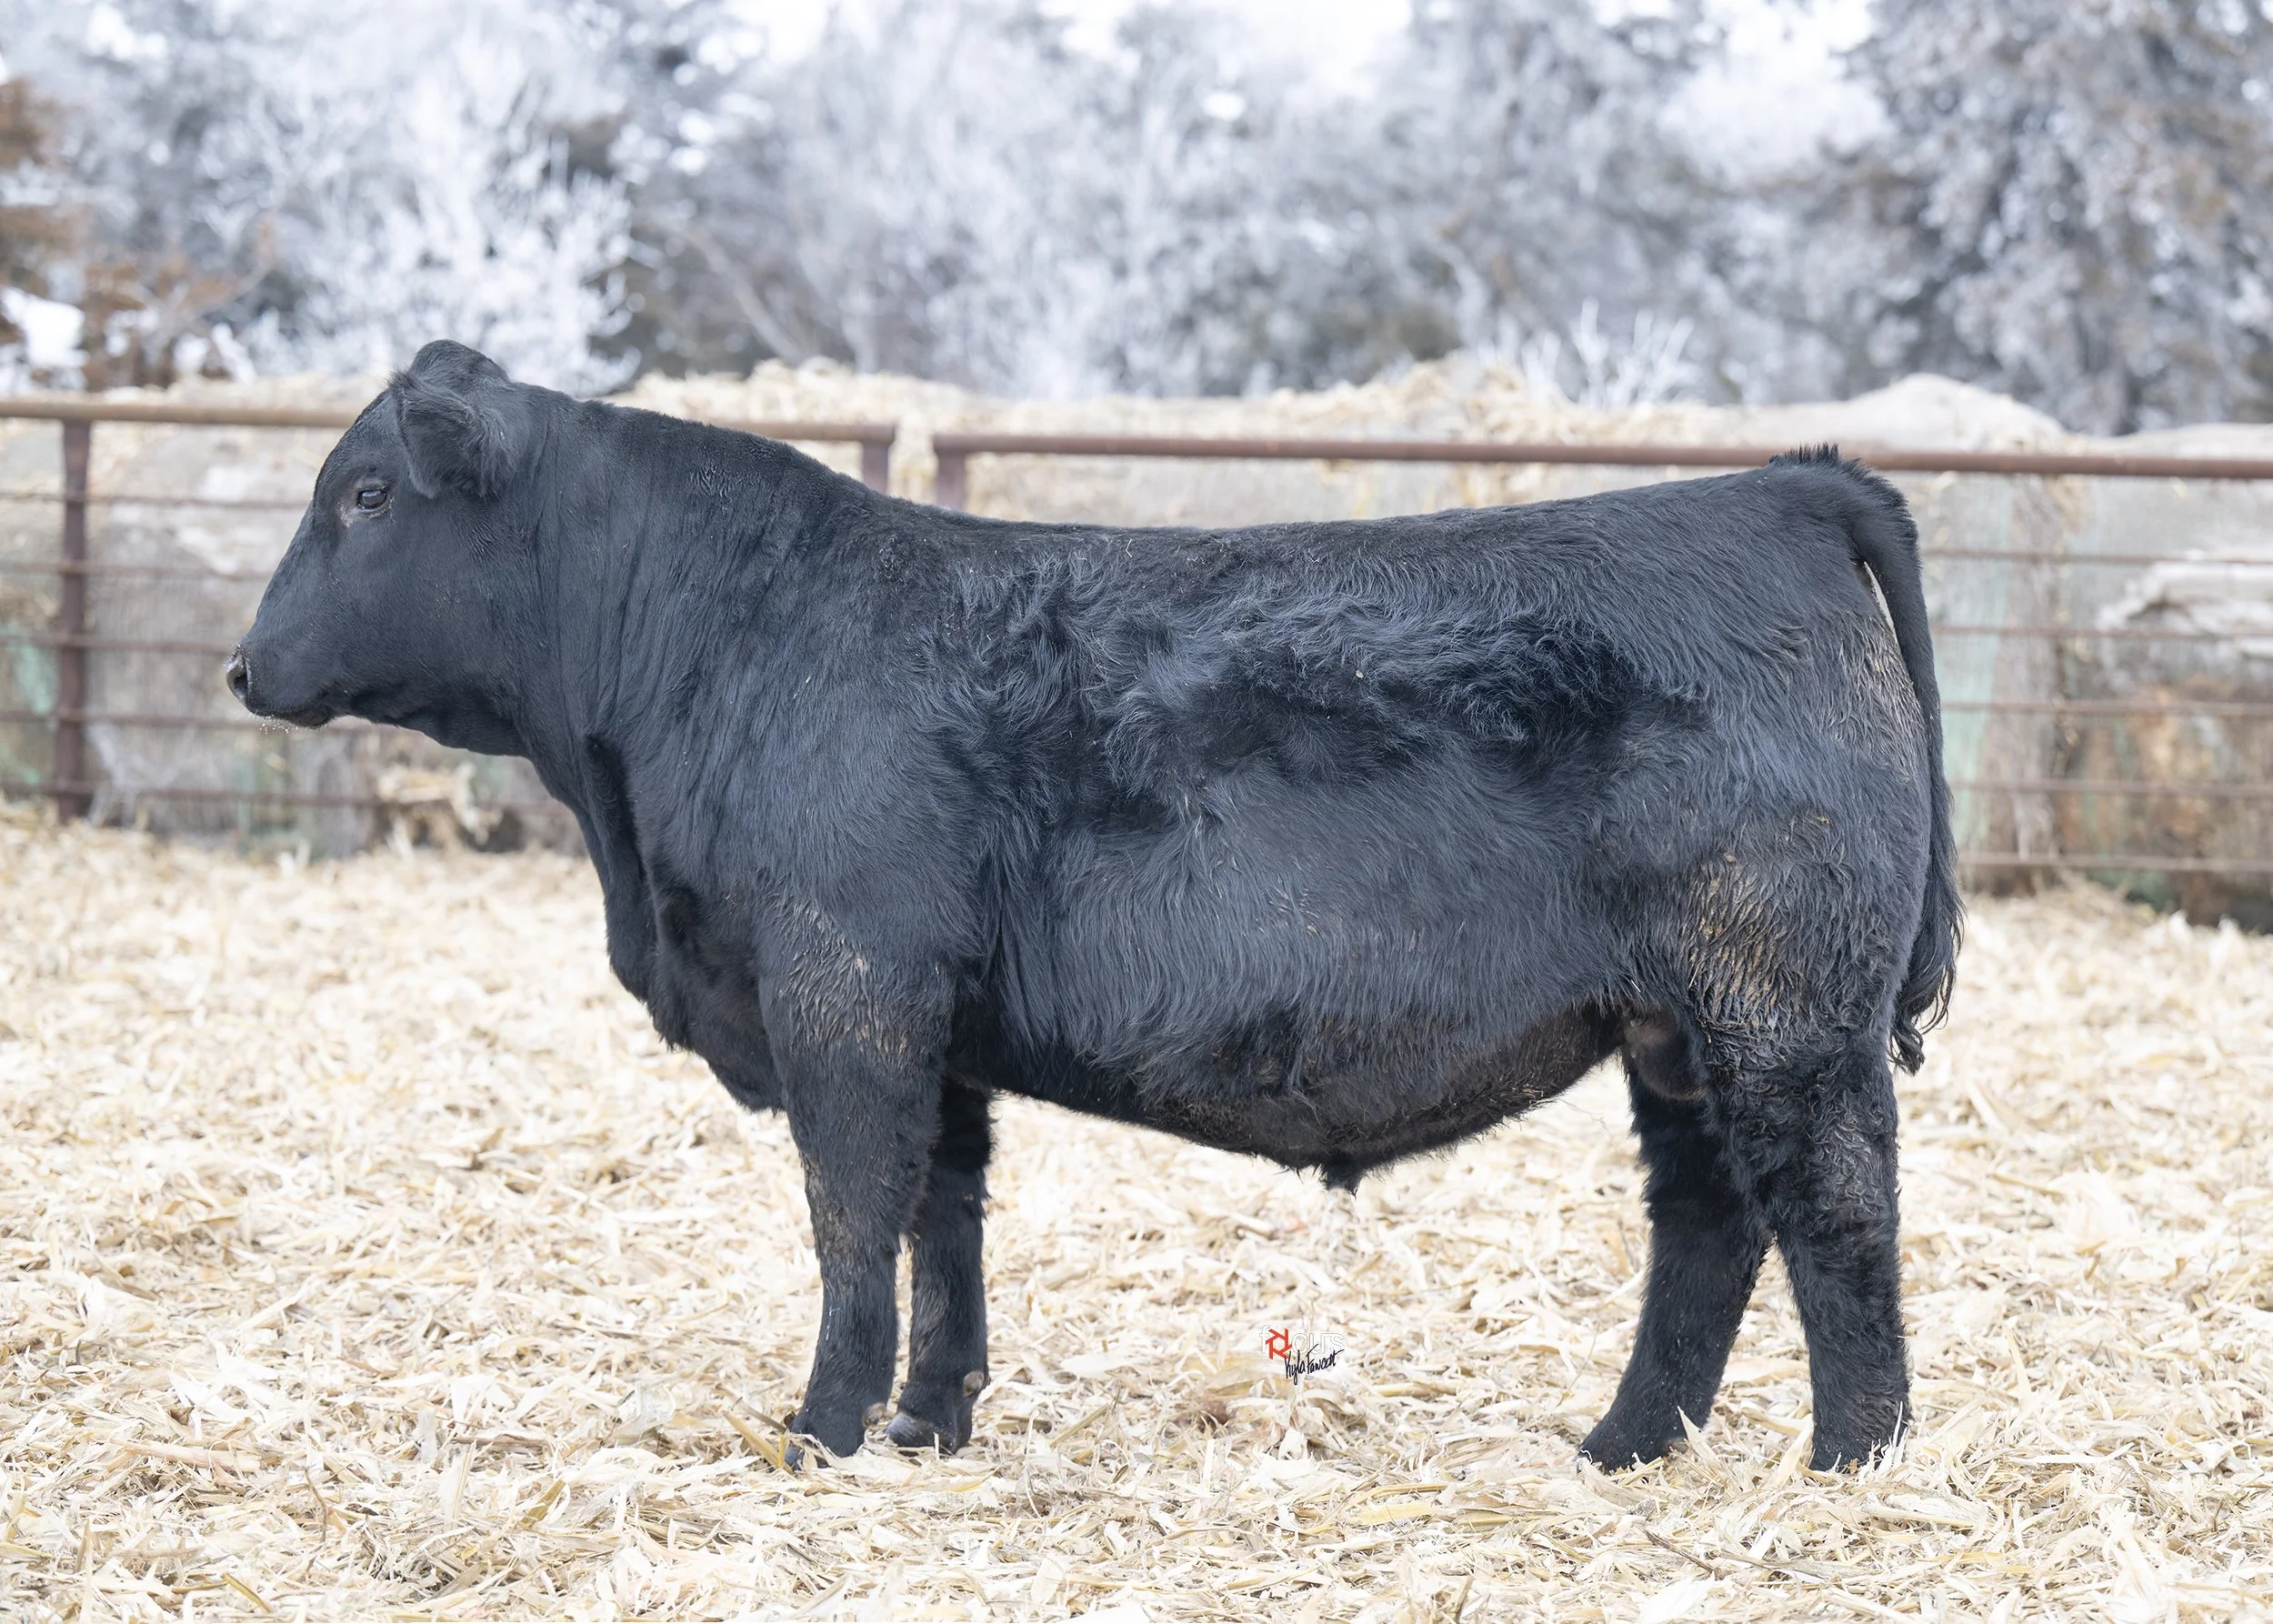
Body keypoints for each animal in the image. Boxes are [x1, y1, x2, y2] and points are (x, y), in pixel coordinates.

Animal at [229, 341, 1960, 1472]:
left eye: (365, 491)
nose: (244, 666)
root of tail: (1784, 494)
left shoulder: (845, 990)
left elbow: (852, 1216)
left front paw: (818, 1431)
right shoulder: (933, 1026)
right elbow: (942, 1220)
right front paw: (928, 1421)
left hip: (1784, 1007)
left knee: (1835, 1213)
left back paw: (1851, 1463)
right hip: (1676, 1027)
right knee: (1711, 1226)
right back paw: (1625, 1447)